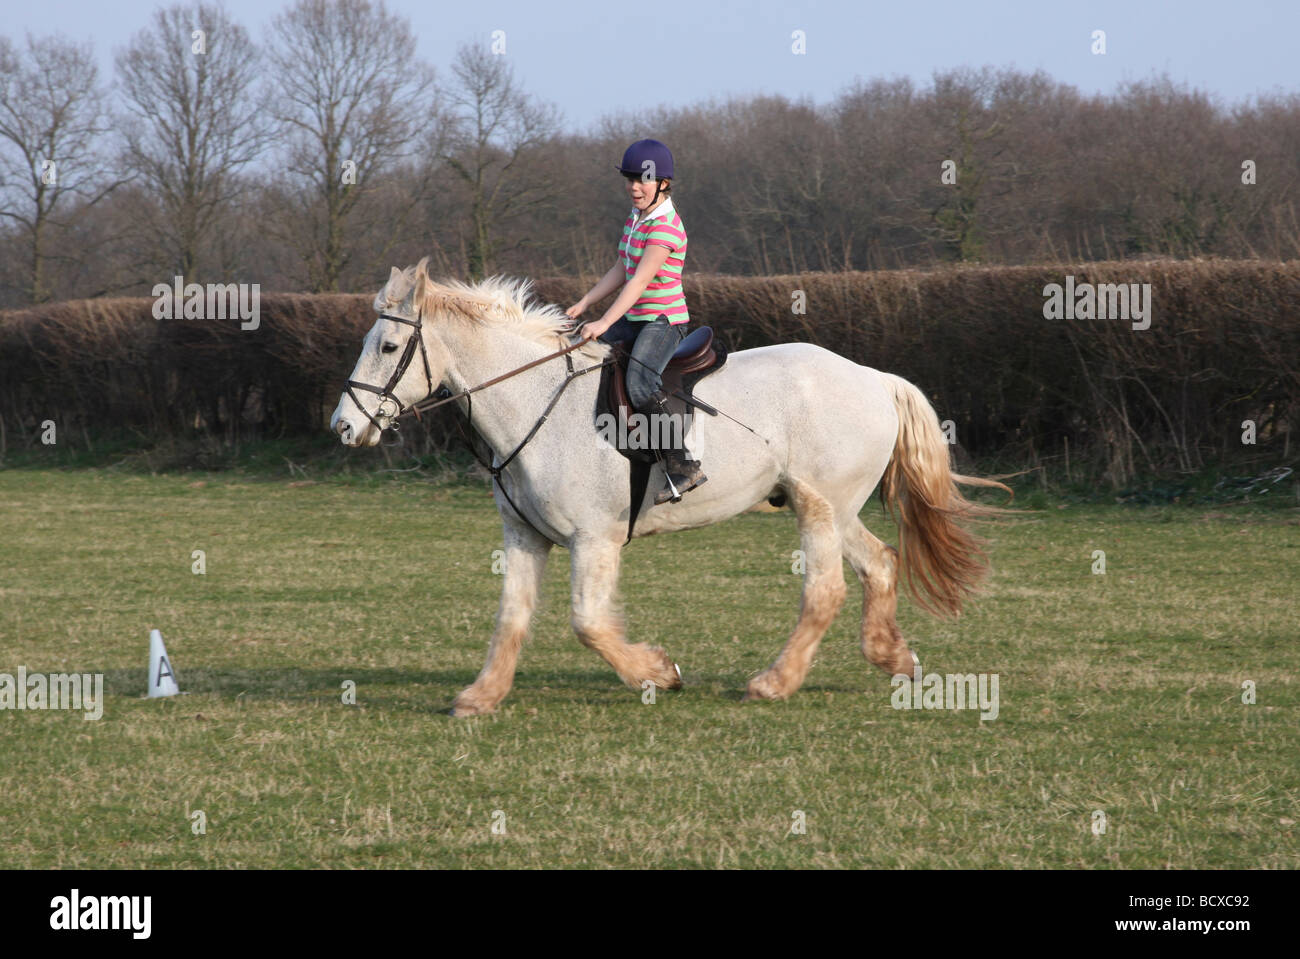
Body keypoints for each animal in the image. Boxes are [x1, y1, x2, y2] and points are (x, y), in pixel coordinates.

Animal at [330, 259, 1009, 716]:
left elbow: (589, 623)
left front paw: (658, 672)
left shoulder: (594, 539)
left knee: (824, 591)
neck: (534, 400)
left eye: (388, 345)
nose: (344, 427)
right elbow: (513, 616)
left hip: (819, 508)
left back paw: (774, 682)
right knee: (882, 564)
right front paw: (482, 695)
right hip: (836, 507)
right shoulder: (525, 536)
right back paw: (894, 658)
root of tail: (874, 377)